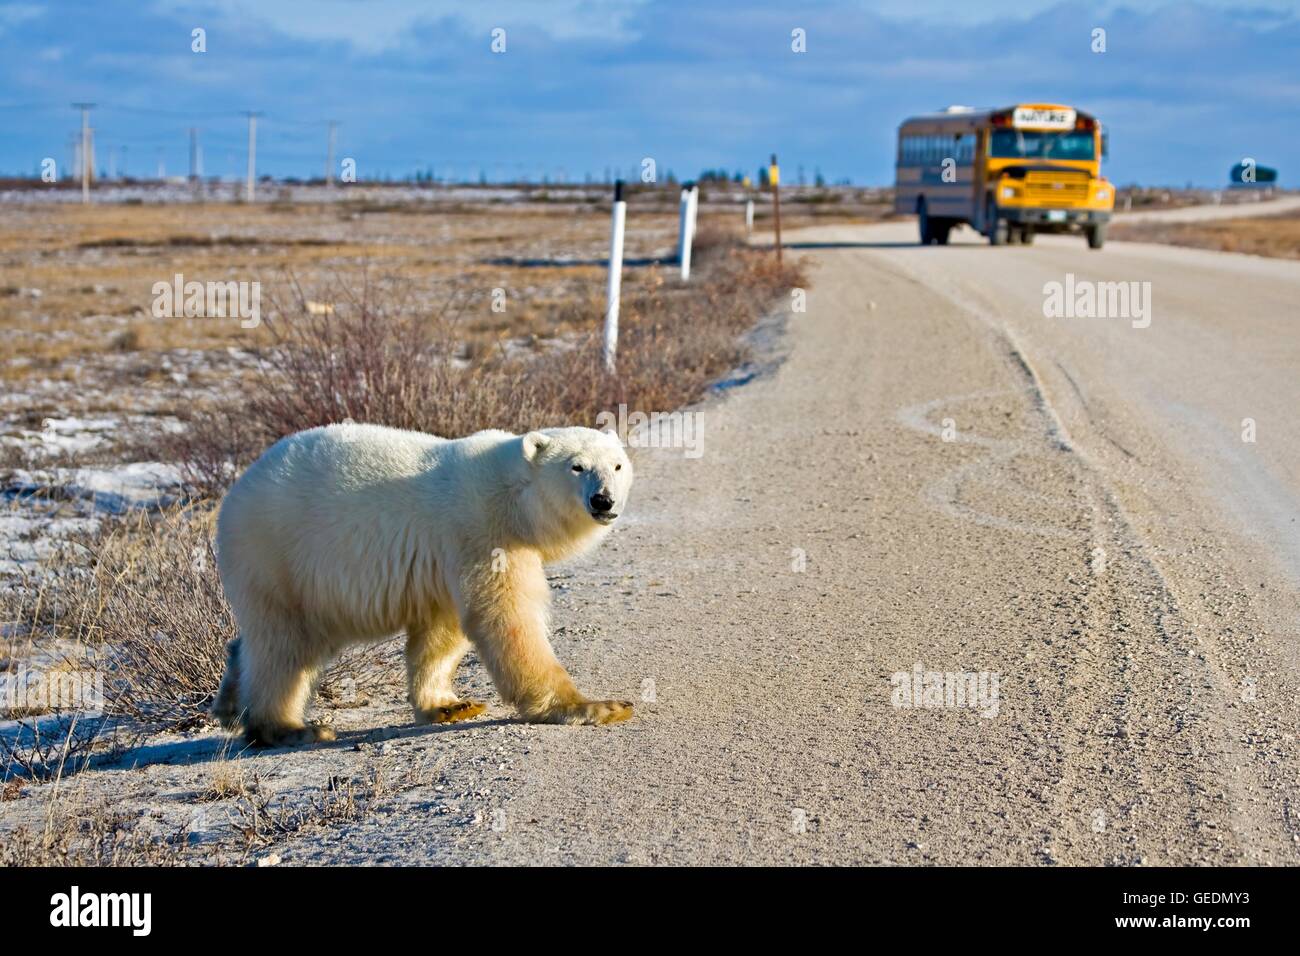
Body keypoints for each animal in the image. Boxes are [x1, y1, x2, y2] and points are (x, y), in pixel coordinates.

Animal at [210, 423, 635, 746]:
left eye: (617, 465)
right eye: (577, 466)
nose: (603, 501)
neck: (514, 496)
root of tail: (234, 493)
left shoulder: (449, 556)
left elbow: (443, 631)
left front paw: (450, 705)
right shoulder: (482, 530)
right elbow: (506, 618)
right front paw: (596, 706)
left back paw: (229, 702)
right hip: (276, 556)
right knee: (284, 647)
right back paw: (291, 728)